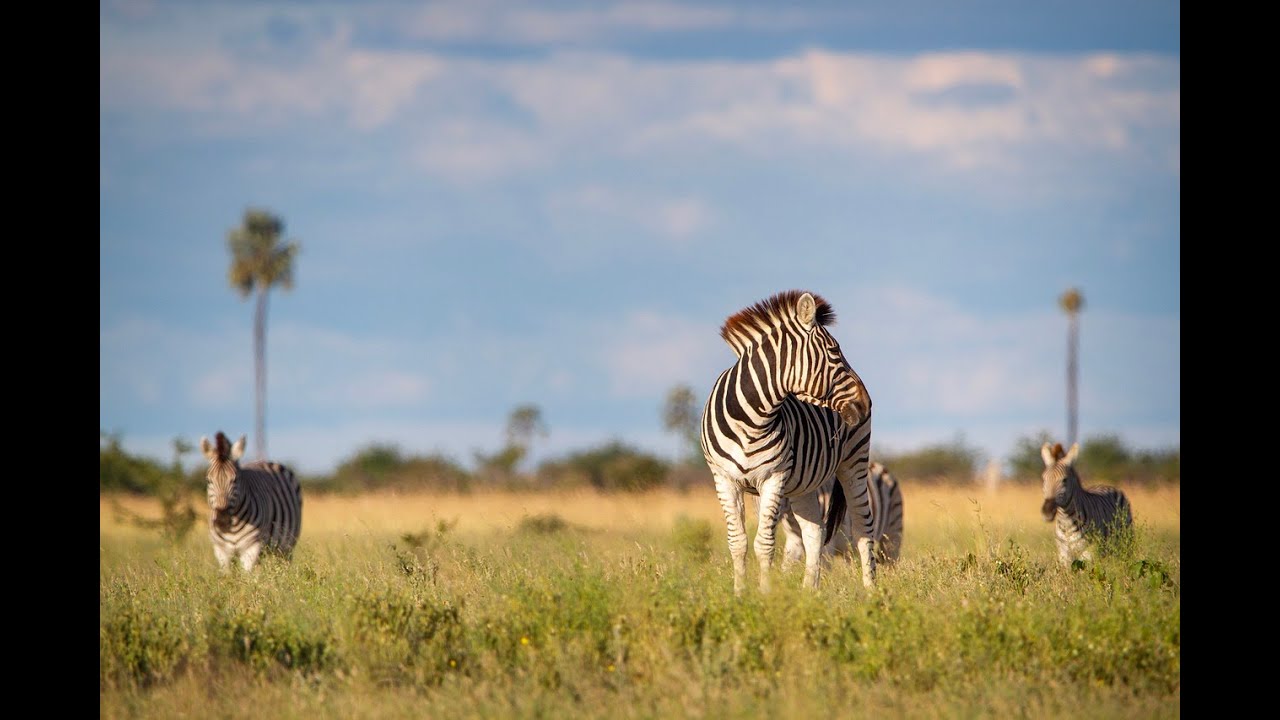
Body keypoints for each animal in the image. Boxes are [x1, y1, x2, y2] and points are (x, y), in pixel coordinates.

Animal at [200, 431, 303, 572]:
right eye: (208, 480)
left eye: (235, 480)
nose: (222, 520)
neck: (232, 527)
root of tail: (265, 461)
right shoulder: (221, 551)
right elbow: (228, 575)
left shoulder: (252, 548)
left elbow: (247, 575)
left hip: (285, 546)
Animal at [700, 289, 874, 594]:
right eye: (834, 352)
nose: (866, 404)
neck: (750, 419)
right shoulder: (723, 478)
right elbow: (738, 542)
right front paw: (739, 594)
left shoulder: (774, 477)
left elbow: (764, 543)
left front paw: (765, 595)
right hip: (806, 482)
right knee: (815, 531)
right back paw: (809, 592)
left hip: (855, 462)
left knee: (862, 530)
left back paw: (873, 593)